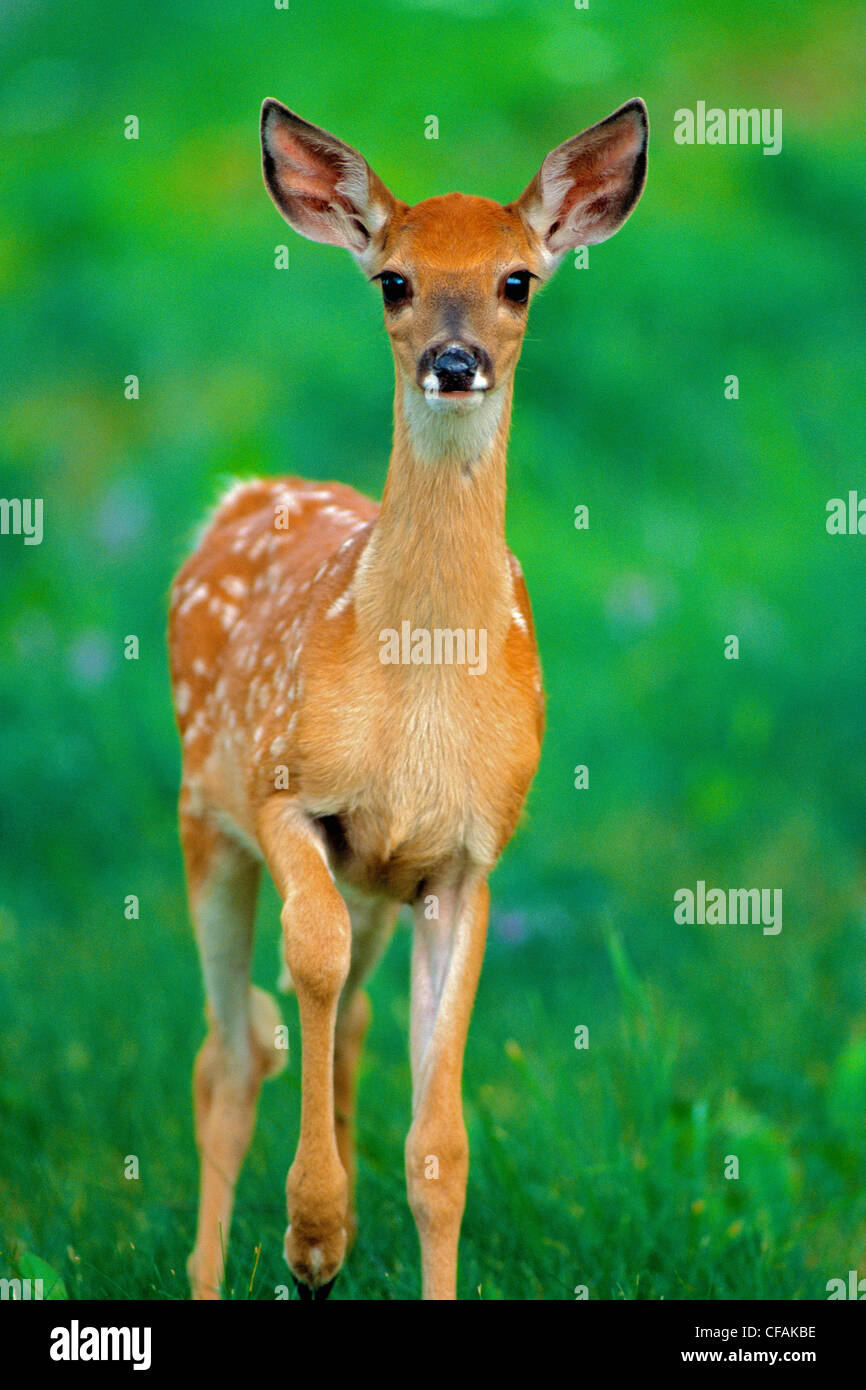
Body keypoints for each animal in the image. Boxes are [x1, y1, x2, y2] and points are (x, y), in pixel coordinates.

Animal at [168, 95, 648, 1301]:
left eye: (518, 278)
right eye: (392, 278)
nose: (454, 360)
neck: (417, 685)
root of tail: (242, 493)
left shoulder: (466, 855)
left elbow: (441, 1151)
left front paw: (334, 1233)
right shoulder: (286, 789)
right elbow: (309, 961)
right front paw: (311, 1226)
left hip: (374, 877)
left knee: (343, 1020)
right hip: (205, 812)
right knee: (229, 1051)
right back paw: (229, 1263)